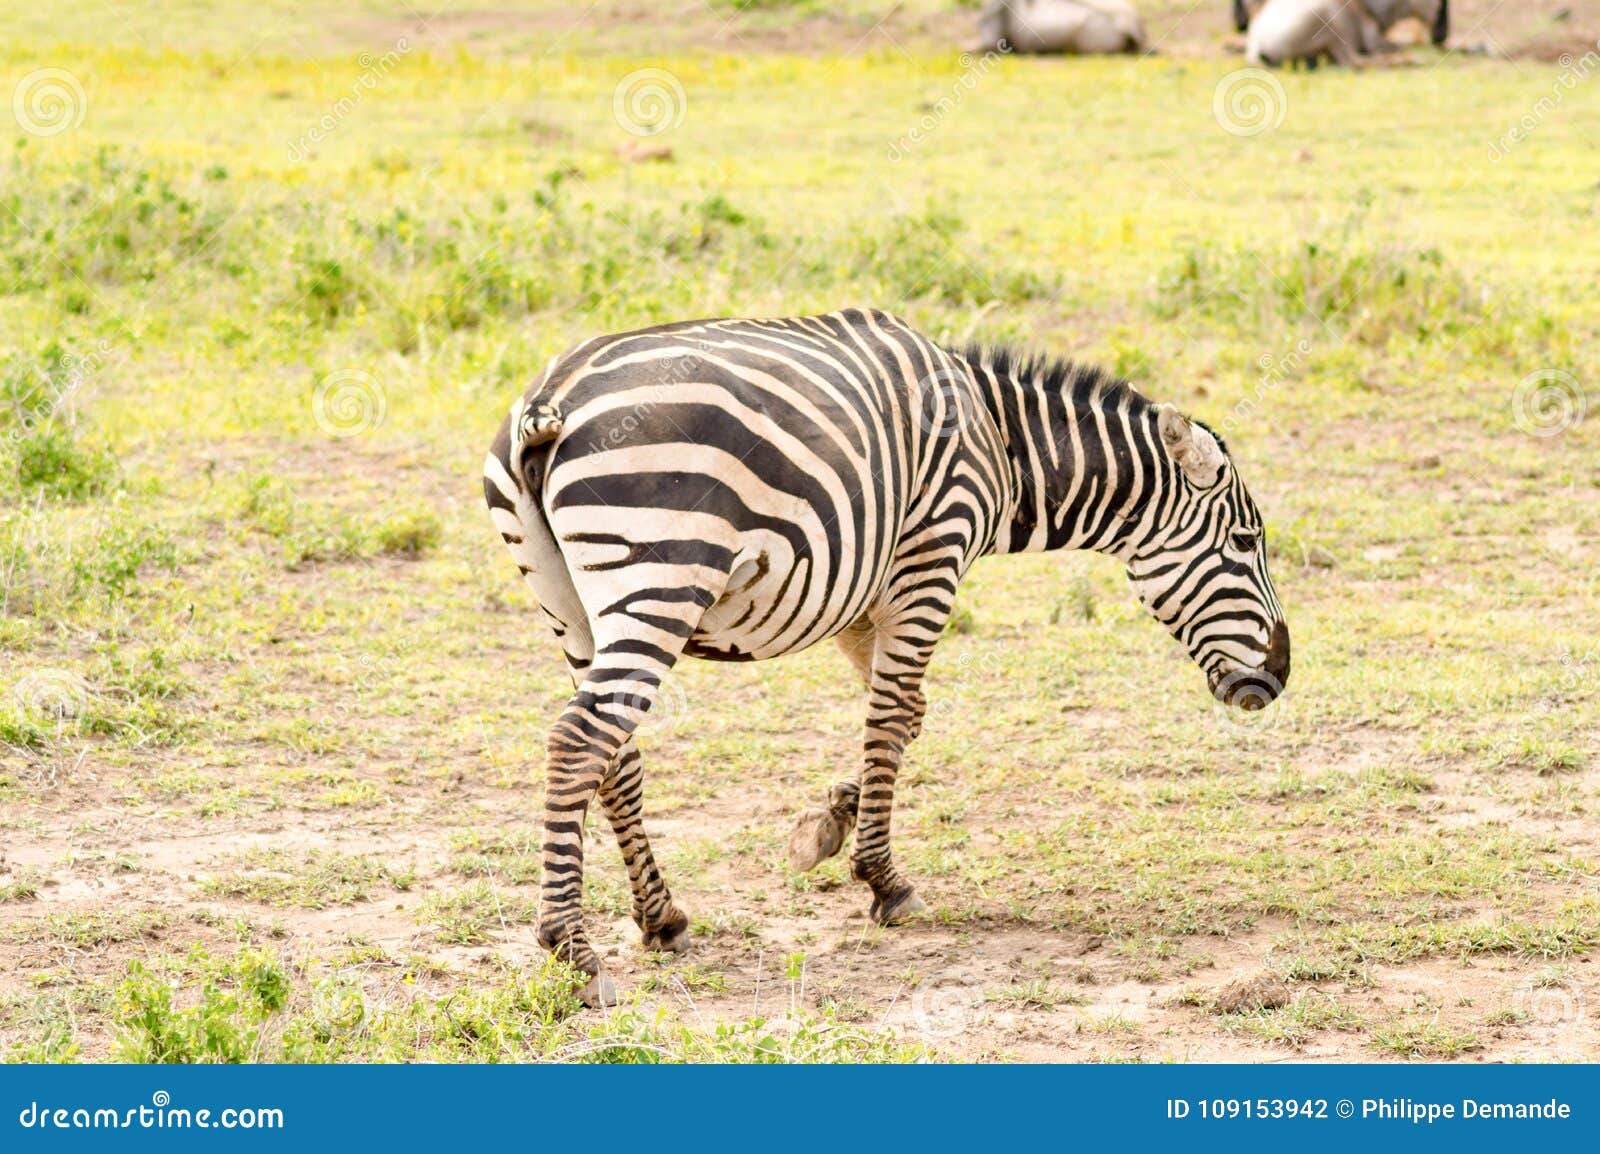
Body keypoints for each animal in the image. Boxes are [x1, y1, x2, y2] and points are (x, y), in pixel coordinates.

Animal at [482, 308, 1289, 1006]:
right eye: (1247, 541)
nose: (1278, 679)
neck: (1001, 444)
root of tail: (553, 397)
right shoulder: (931, 560)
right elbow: (894, 716)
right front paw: (883, 880)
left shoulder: (864, 594)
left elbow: (902, 718)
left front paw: (828, 823)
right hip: (661, 576)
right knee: (580, 740)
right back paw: (575, 951)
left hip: (567, 604)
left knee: (613, 754)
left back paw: (660, 918)